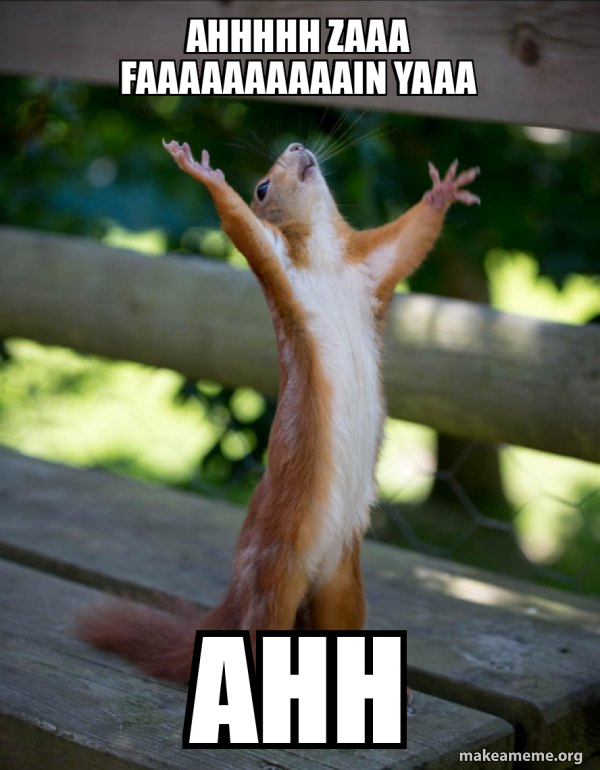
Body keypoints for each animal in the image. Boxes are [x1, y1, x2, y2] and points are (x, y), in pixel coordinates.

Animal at [77, 139, 479, 688]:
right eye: (262, 187)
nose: (296, 146)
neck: (327, 260)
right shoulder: (278, 265)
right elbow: (241, 226)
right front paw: (204, 173)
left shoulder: (372, 267)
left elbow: (410, 240)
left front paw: (442, 193)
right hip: (274, 576)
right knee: (259, 631)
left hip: (344, 586)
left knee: (340, 626)